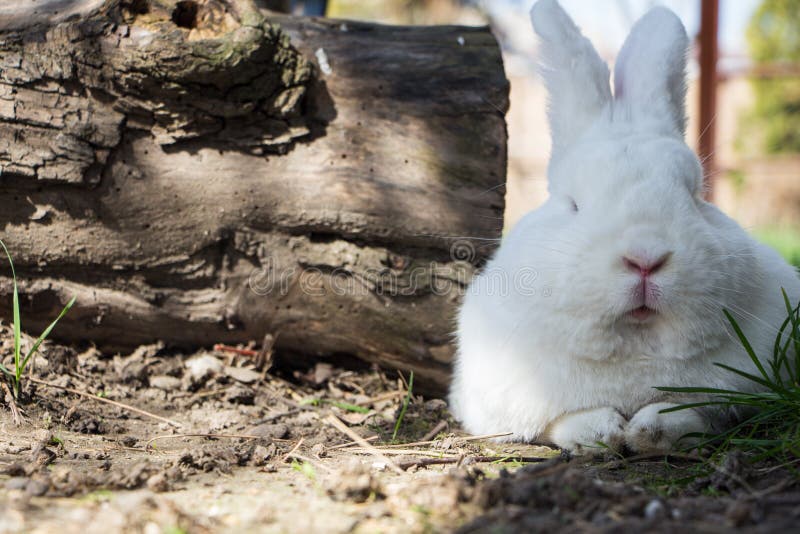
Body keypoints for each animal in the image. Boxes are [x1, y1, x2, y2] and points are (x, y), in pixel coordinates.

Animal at [448, 0, 800, 454]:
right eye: (574, 204)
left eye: (695, 194)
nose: (645, 259)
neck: (637, 343)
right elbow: (559, 421)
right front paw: (601, 433)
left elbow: (697, 413)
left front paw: (651, 429)